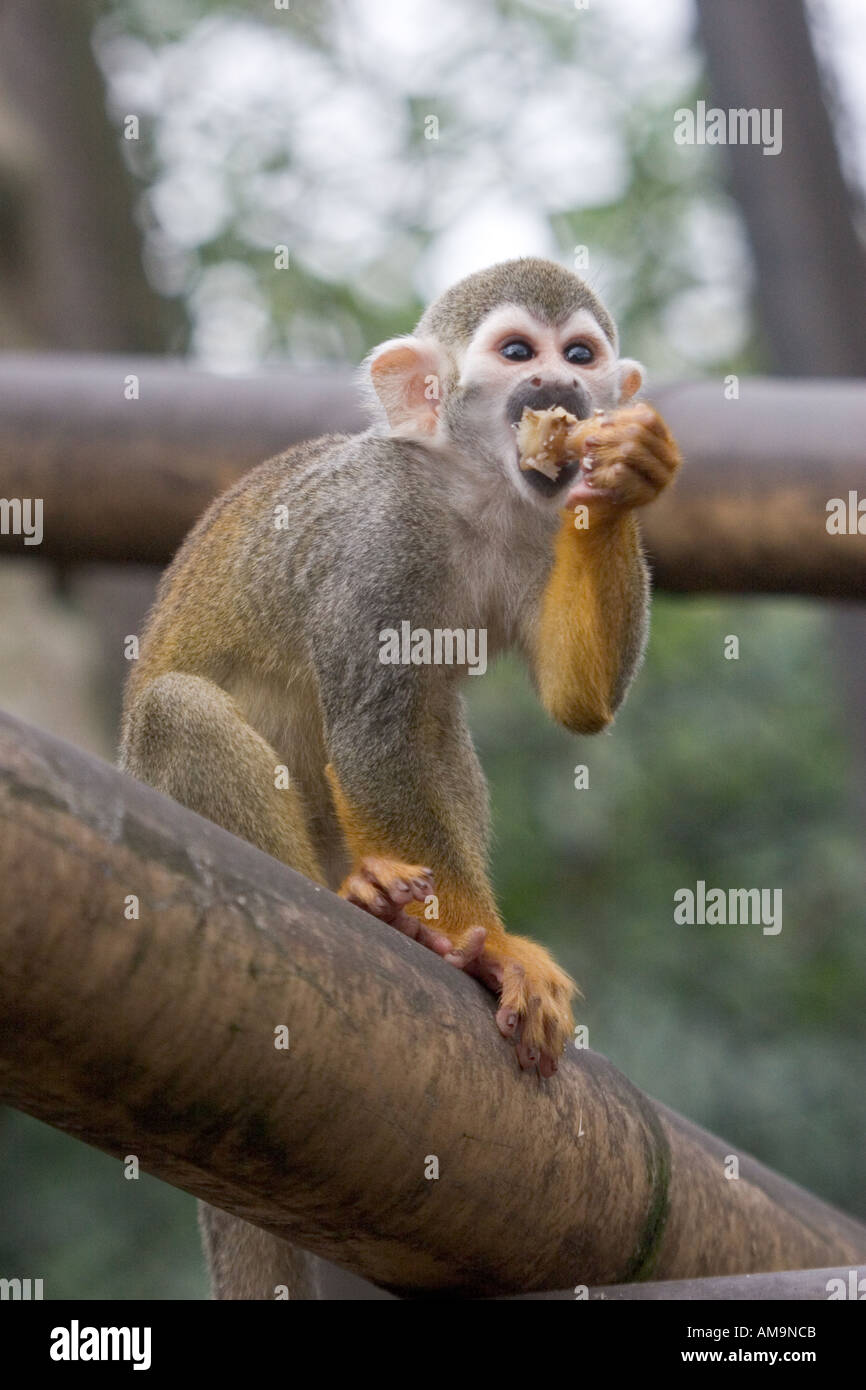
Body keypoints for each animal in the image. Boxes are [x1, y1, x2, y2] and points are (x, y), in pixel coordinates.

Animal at [118, 256, 681, 1297]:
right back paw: (369, 907)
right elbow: (375, 737)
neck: (473, 492)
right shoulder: (381, 536)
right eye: (518, 353)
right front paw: (499, 957)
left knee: (438, 719)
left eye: (581, 355)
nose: (560, 386)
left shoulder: (541, 522)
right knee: (179, 713)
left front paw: (629, 474)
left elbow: (574, 699)